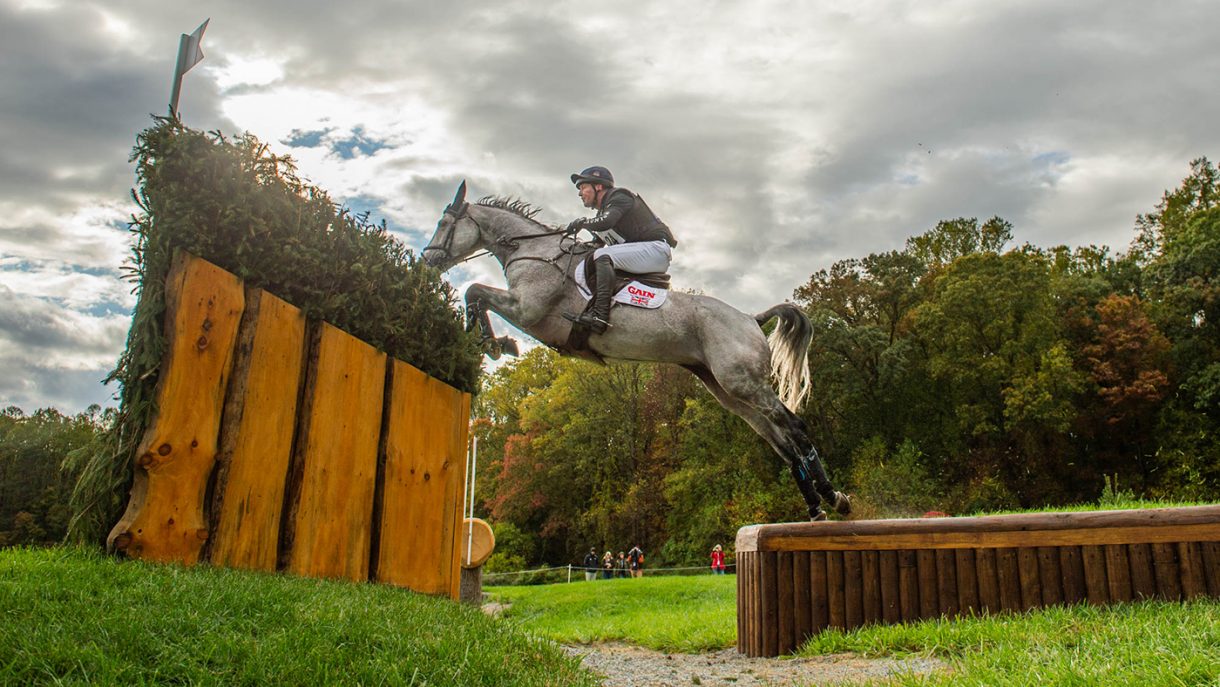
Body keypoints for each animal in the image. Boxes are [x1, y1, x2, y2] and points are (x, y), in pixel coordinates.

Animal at [421, 182, 849, 521]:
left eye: (443, 224)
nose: (427, 260)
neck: (535, 253)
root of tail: (750, 317)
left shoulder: (528, 310)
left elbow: (474, 291)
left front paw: (494, 344)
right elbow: (476, 295)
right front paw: (489, 342)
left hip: (743, 383)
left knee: (795, 428)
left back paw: (835, 498)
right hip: (727, 391)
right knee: (782, 443)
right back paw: (815, 507)